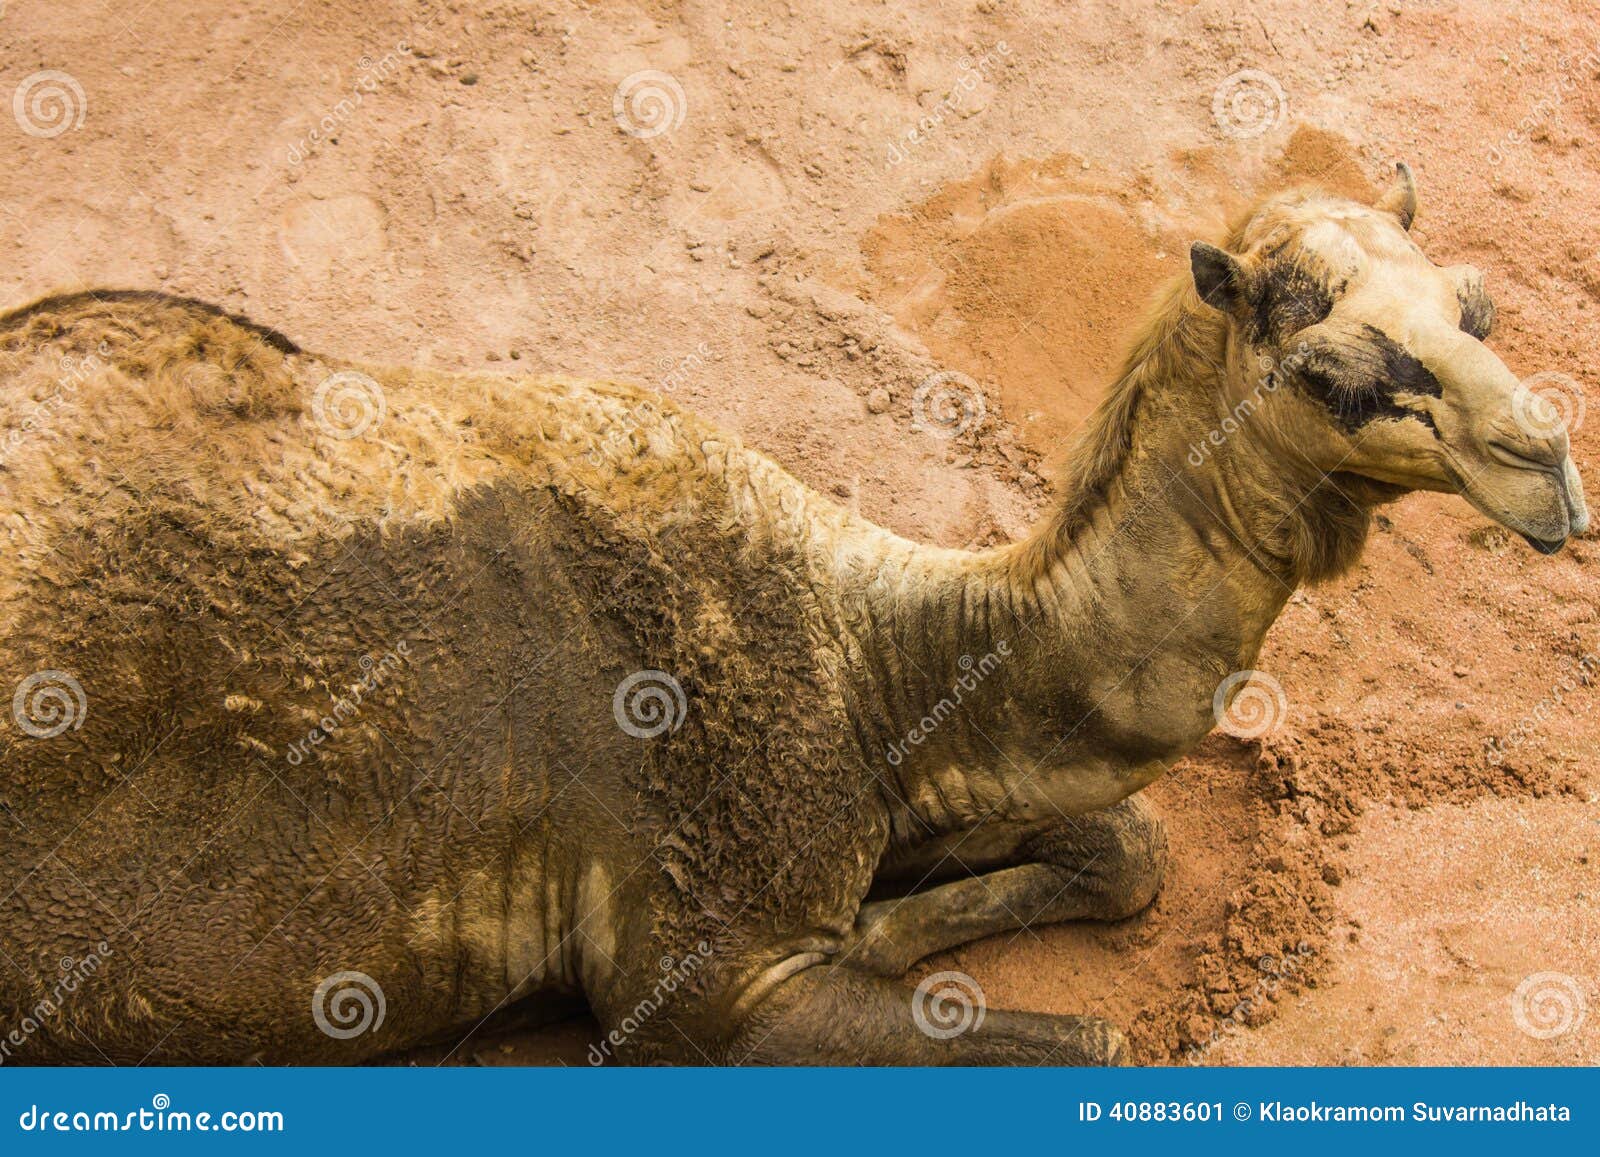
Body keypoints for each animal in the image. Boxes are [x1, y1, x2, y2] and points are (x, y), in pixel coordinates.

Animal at [0, 167, 1586, 1065]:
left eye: (1479, 305)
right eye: (1328, 370)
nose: (1552, 465)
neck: (868, 652)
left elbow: (1126, 845)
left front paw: (896, 925)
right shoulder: (715, 972)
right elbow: (1100, 1038)